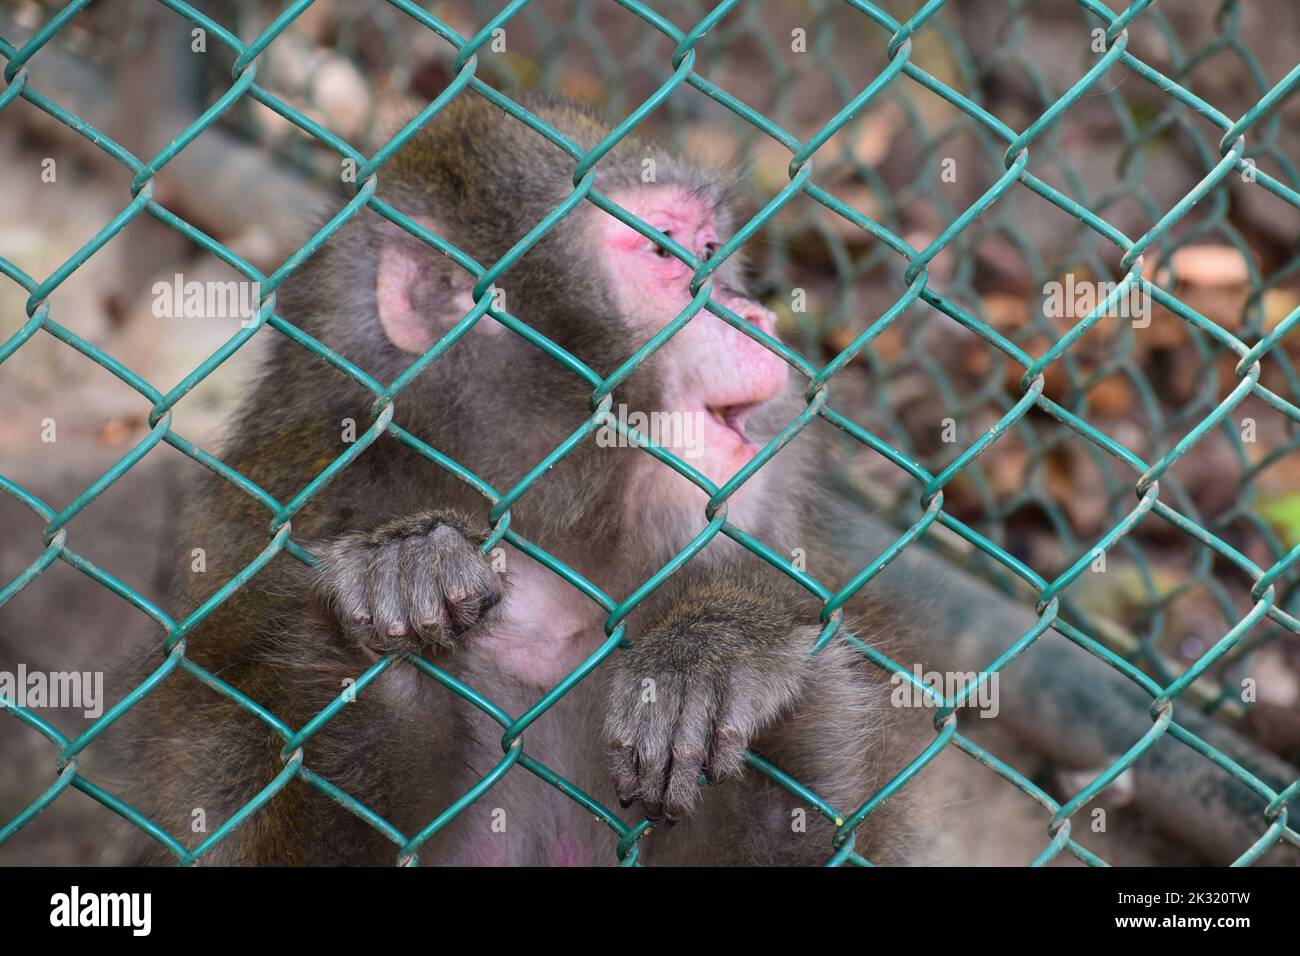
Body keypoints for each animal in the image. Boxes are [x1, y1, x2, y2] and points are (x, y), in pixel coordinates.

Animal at [118, 92, 922, 866]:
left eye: (708, 252)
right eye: (665, 250)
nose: (756, 315)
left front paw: (725, 648)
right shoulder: (267, 552)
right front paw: (396, 585)